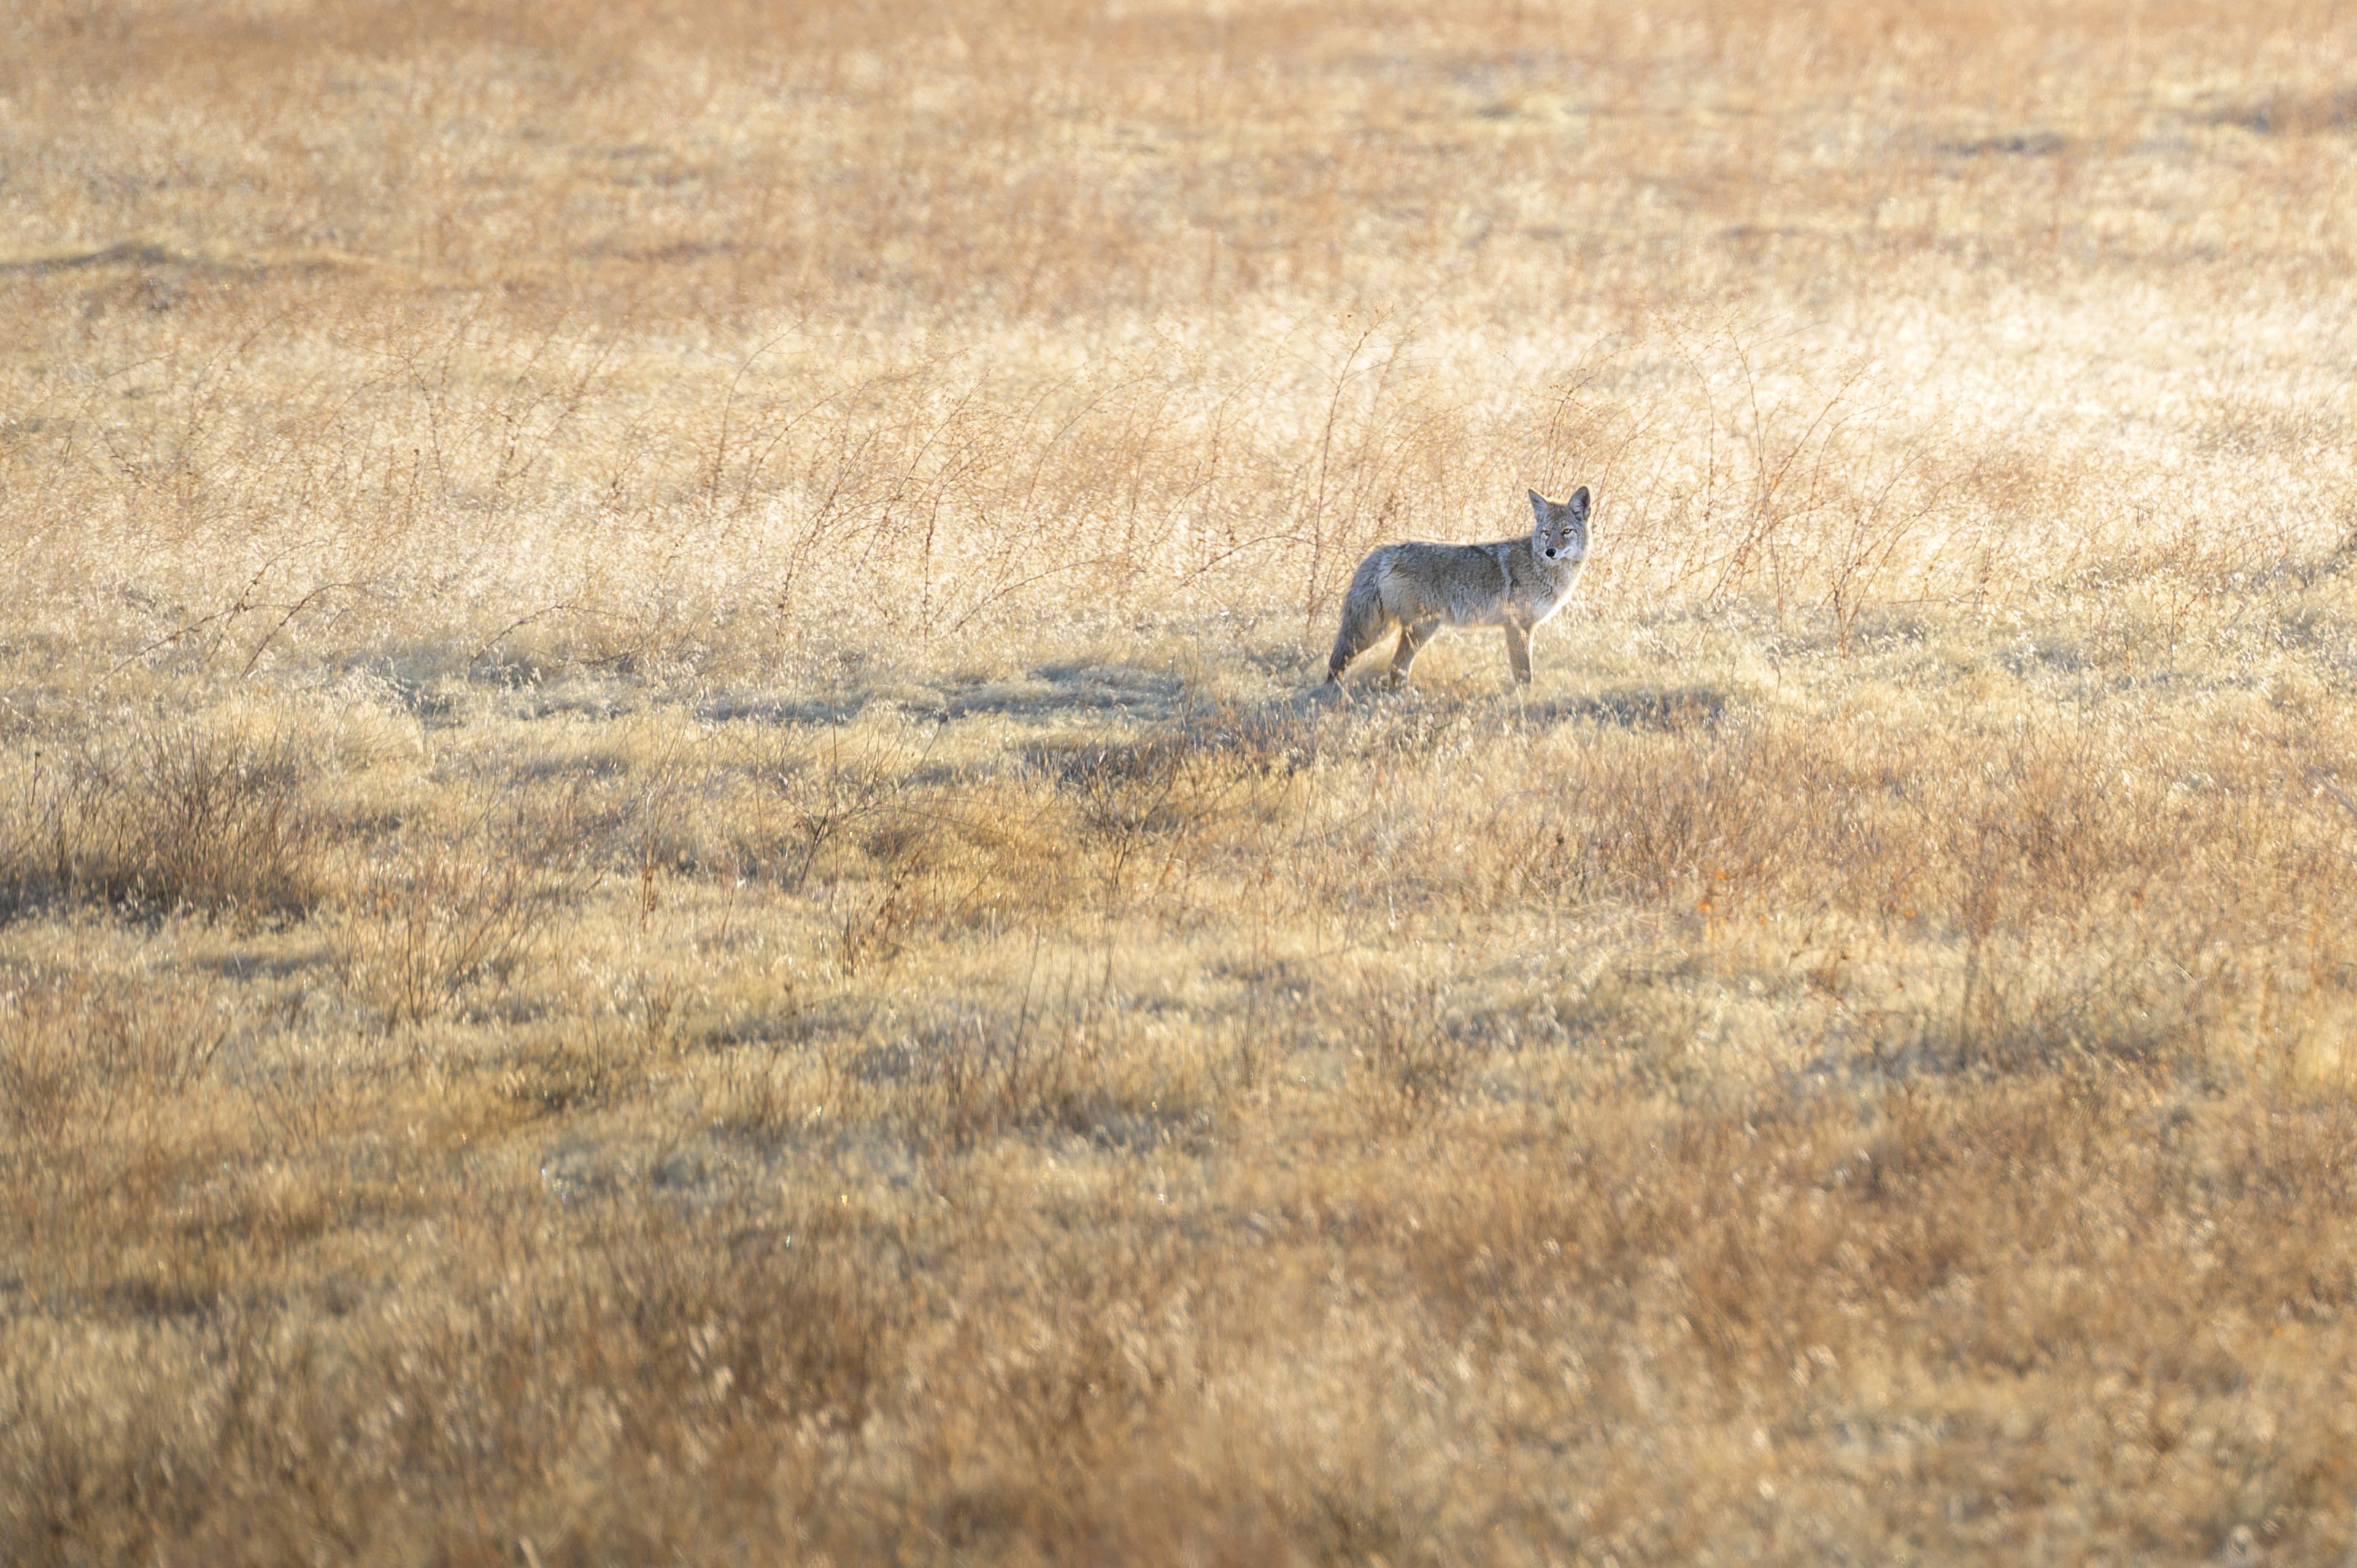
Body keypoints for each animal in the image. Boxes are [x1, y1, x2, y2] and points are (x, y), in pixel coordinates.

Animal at [1325, 487, 1591, 687]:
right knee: (1395, 667)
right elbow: (1524, 674)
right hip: (1419, 629)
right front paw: (1524, 698)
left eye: (1566, 531)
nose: (1550, 551)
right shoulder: (1517, 627)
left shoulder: (1524, 628)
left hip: (1381, 631)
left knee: (1351, 663)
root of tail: (1383, 552)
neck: (1541, 568)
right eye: (1546, 533)